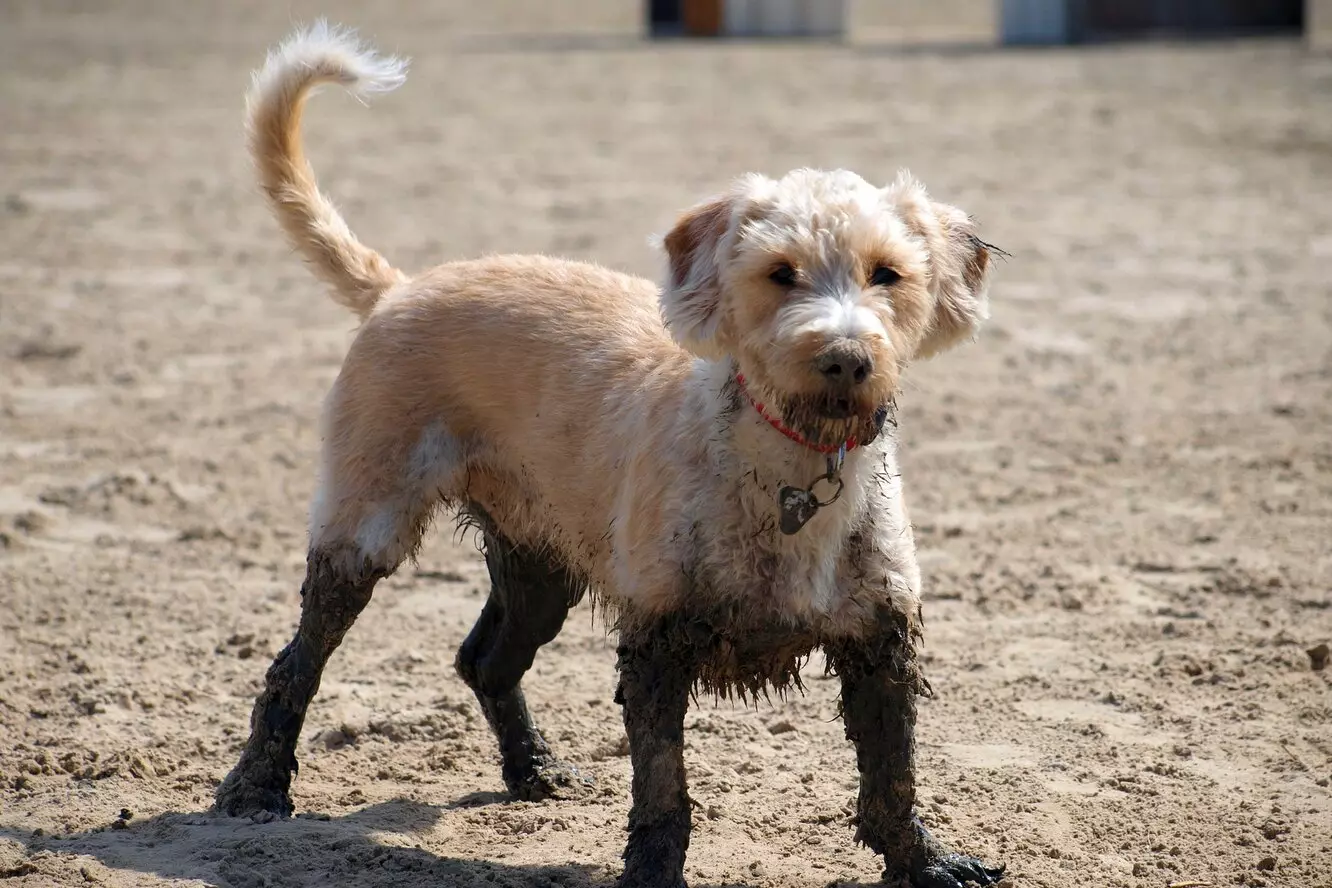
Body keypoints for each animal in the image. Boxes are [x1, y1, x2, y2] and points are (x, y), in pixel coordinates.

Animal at [218, 20, 1001, 888]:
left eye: (887, 273)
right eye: (781, 273)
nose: (844, 358)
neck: (789, 473)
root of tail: (399, 287)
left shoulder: (878, 643)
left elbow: (892, 779)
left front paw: (927, 863)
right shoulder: (656, 644)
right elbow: (663, 790)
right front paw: (654, 871)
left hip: (538, 561)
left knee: (485, 661)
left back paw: (534, 770)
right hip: (365, 525)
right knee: (297, 664)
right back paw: (256, 788)